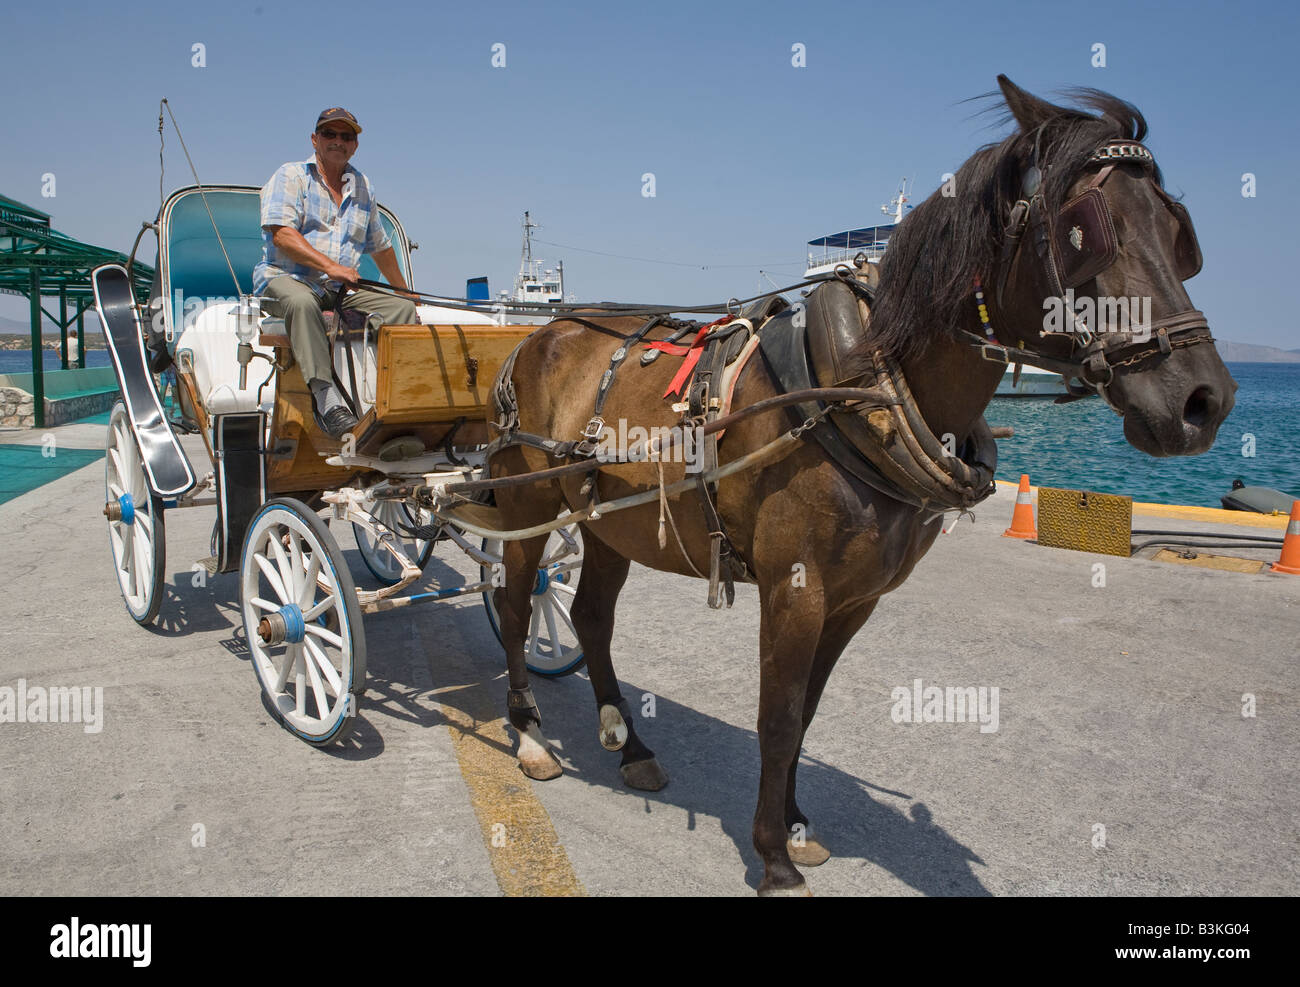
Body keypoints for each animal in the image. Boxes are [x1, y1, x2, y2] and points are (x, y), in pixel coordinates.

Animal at [483, 75, 1237, 895]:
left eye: (1180, 234)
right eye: (1086, 232)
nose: (1205, 400)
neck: (861, 392)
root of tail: (541, 332)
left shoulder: (856, 597)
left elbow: (807, 714)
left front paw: (795, 823)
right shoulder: (796, 586)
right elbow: (778, 717)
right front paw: (773, 855)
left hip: (608, 518)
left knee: (590, 616)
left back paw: (630, 745)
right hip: (527, 504)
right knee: (516, 605)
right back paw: (529, 736)